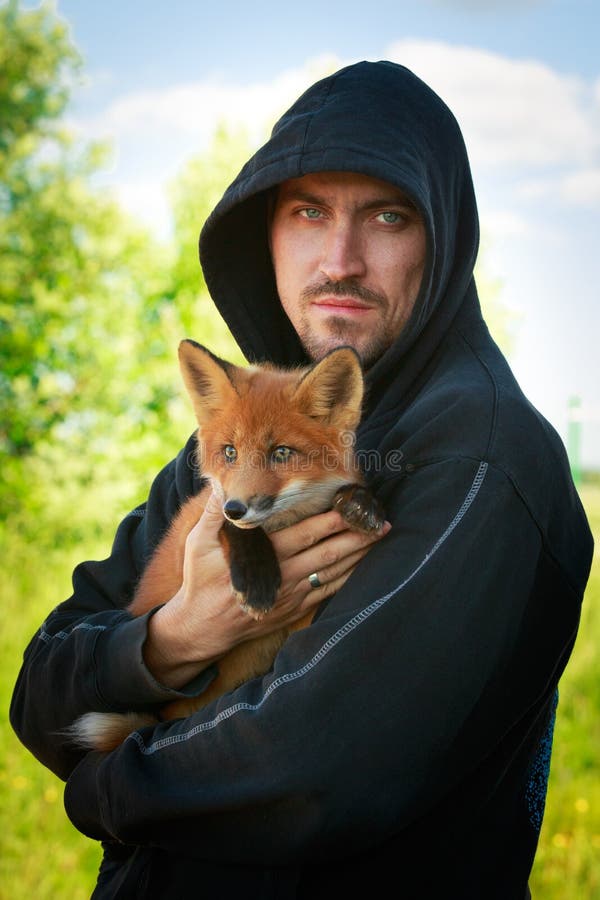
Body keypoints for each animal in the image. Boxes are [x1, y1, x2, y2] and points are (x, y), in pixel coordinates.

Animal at [71, 339, 385, 751]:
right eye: (230, 452)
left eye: (281, 453)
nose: (236, 507)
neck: (286, 522)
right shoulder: (197, 526)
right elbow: (232, 530)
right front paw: (256, 580)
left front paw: (361, 504)